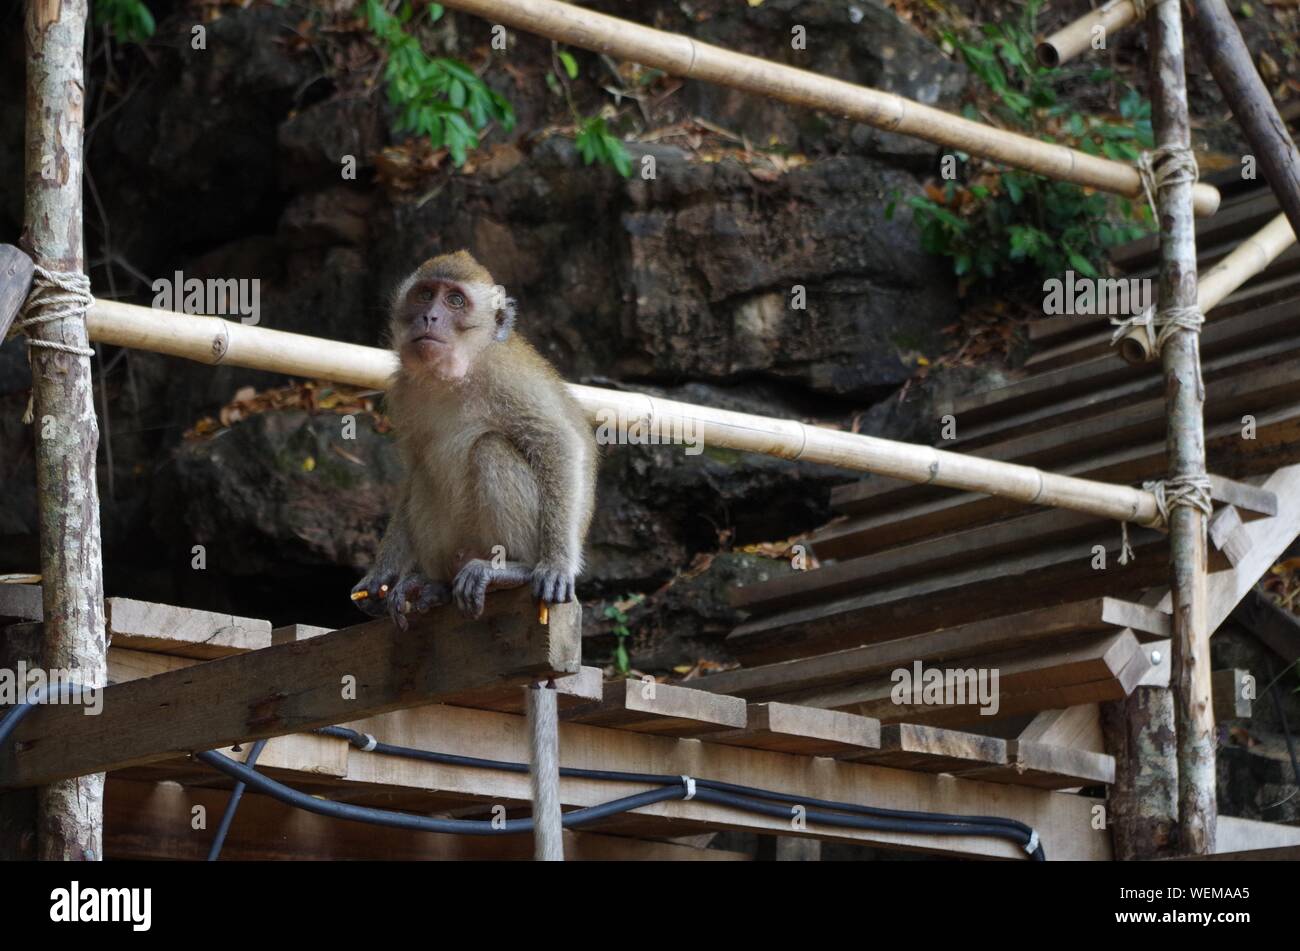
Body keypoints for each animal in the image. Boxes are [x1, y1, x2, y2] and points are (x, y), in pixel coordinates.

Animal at [351, 250, 597, 629]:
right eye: (425, 295)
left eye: (455, 301)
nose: (429, 316)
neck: (454, 375)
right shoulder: (403, 390)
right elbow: (412, 469)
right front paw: (381, 574)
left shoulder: (506, 376)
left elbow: (557, 442)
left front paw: (556, 565)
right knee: (424, 475)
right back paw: (433, 587)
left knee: (490, 447)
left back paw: (512, 570)